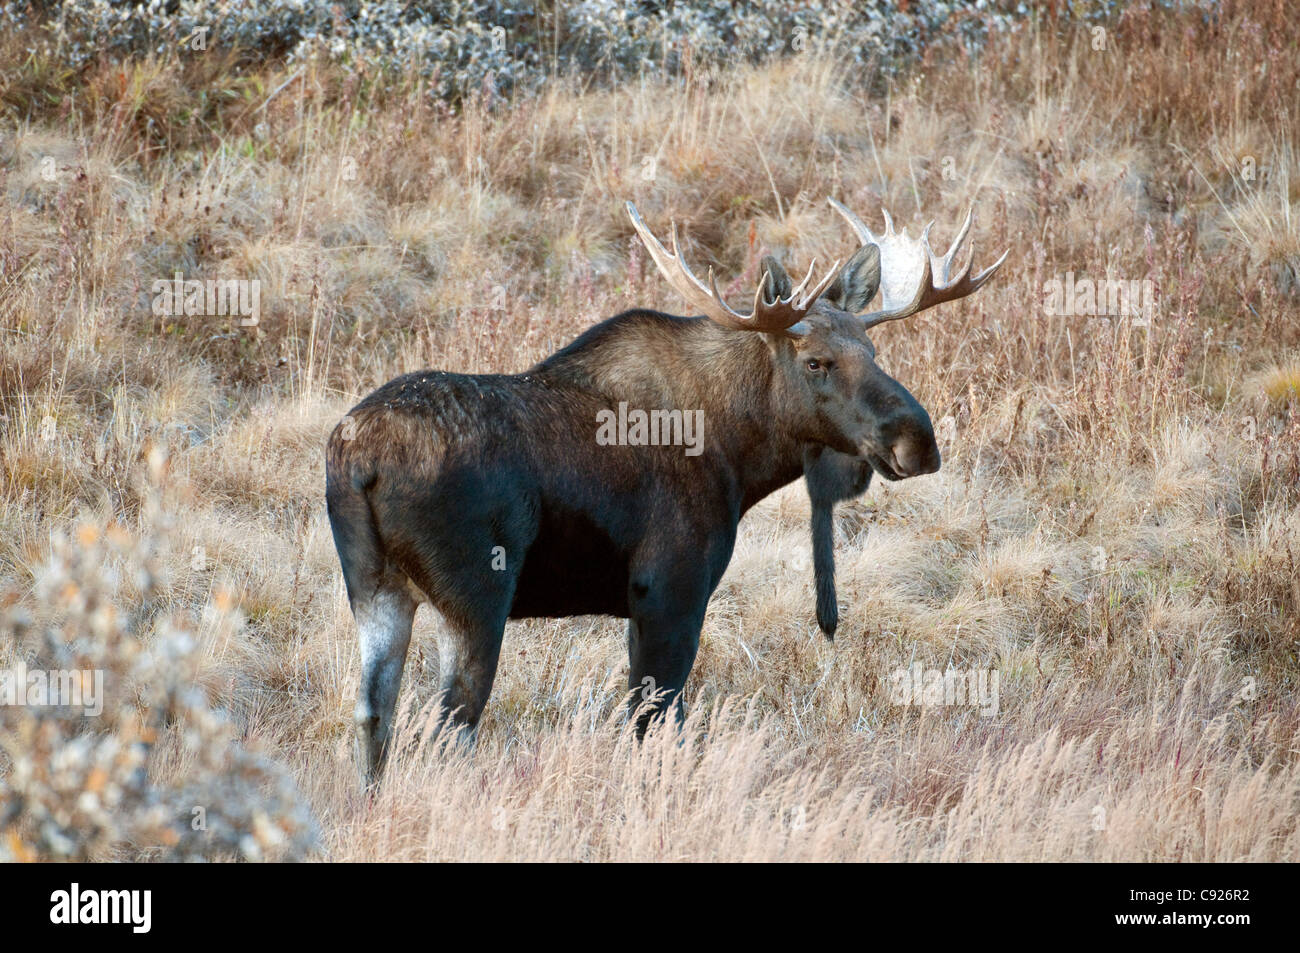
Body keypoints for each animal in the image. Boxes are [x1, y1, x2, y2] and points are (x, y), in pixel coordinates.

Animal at [325, 198, 1003, 780]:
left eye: (872, 350)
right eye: (817, 363)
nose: (918, 442)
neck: (739, 455)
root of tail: (357, 459)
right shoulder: (671, 589)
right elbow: (657, 724)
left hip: (378, 592)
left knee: (373, 717)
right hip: (474, 598)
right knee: (447, 728)